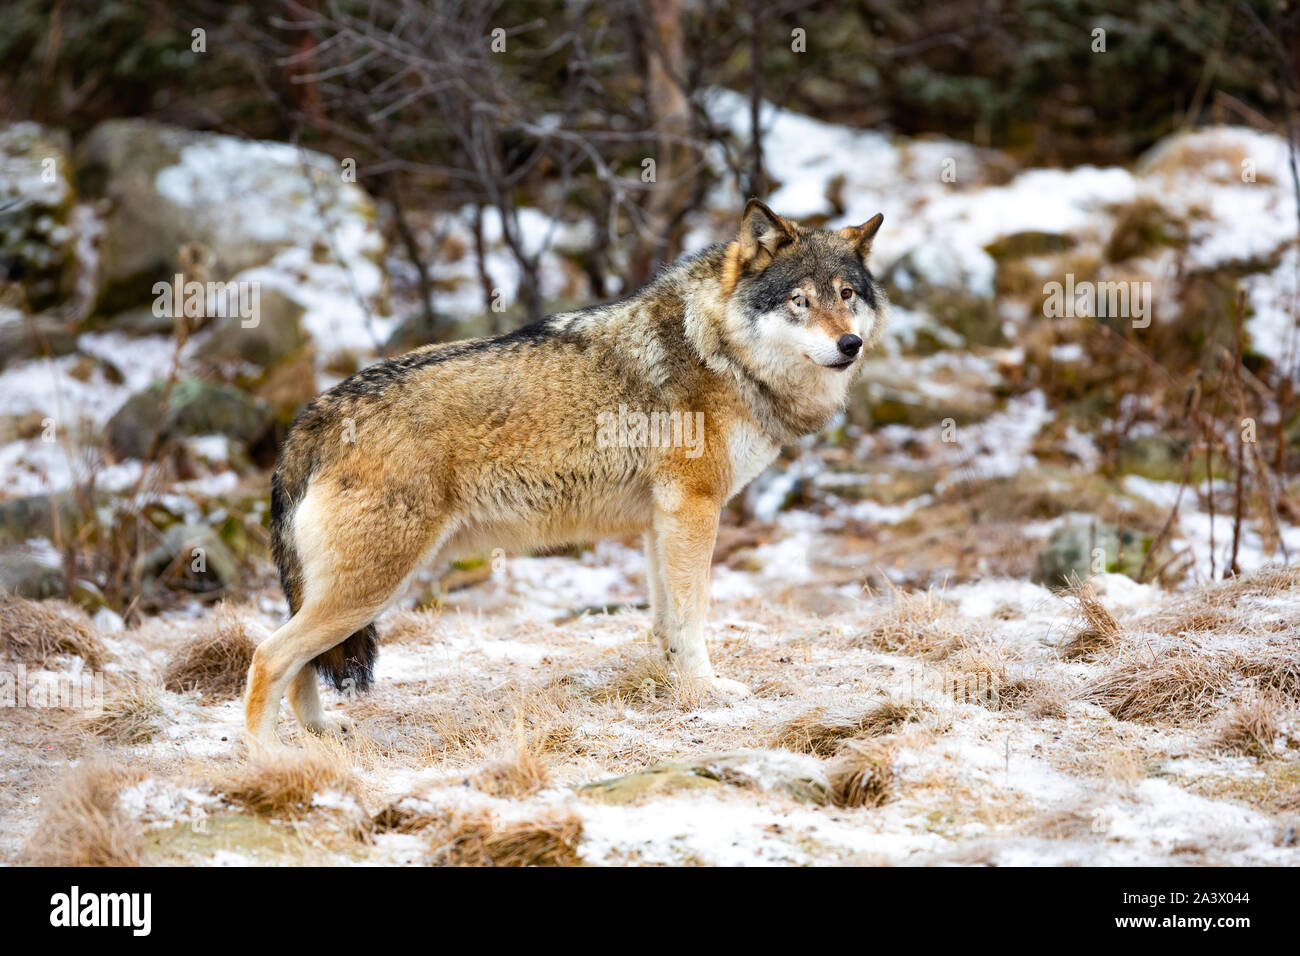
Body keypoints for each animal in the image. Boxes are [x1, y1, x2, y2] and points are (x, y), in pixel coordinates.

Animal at [245, 200, 887, 747]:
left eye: (846, 294)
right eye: (799, 300)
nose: (850, 344)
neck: (719, 350)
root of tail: (315, 413)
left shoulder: (661, 521)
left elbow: (666, 621)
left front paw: (674, 683)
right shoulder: (695, 507)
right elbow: (693, 615)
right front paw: (707, 690)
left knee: (296, 663)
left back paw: (319, 735)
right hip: (372, 587)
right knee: (268, 657)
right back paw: (271, 760)